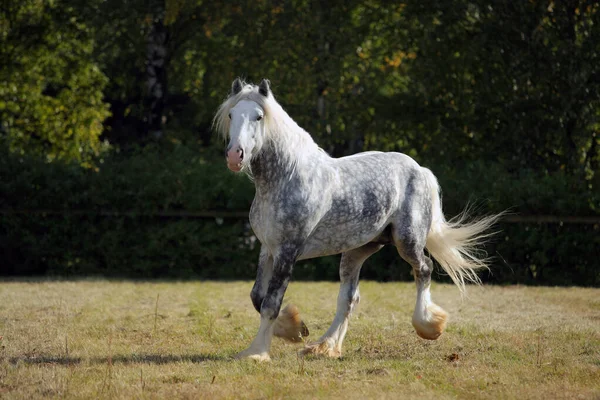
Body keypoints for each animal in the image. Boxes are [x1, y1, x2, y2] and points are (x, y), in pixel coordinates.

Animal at [213, 79, 500, 362]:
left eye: (259, 116)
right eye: (231, 114)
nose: (235, 155)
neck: (287, 178)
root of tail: (420, 170)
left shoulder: (287, 250)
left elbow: (271, 303)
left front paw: (257, 353)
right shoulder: (268, 249)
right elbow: (257, 297)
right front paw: (295, 329)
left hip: (407, 241)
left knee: (424, 269)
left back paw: (429, 326)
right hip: (357, 250)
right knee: (349, 298)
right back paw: (326, 347)